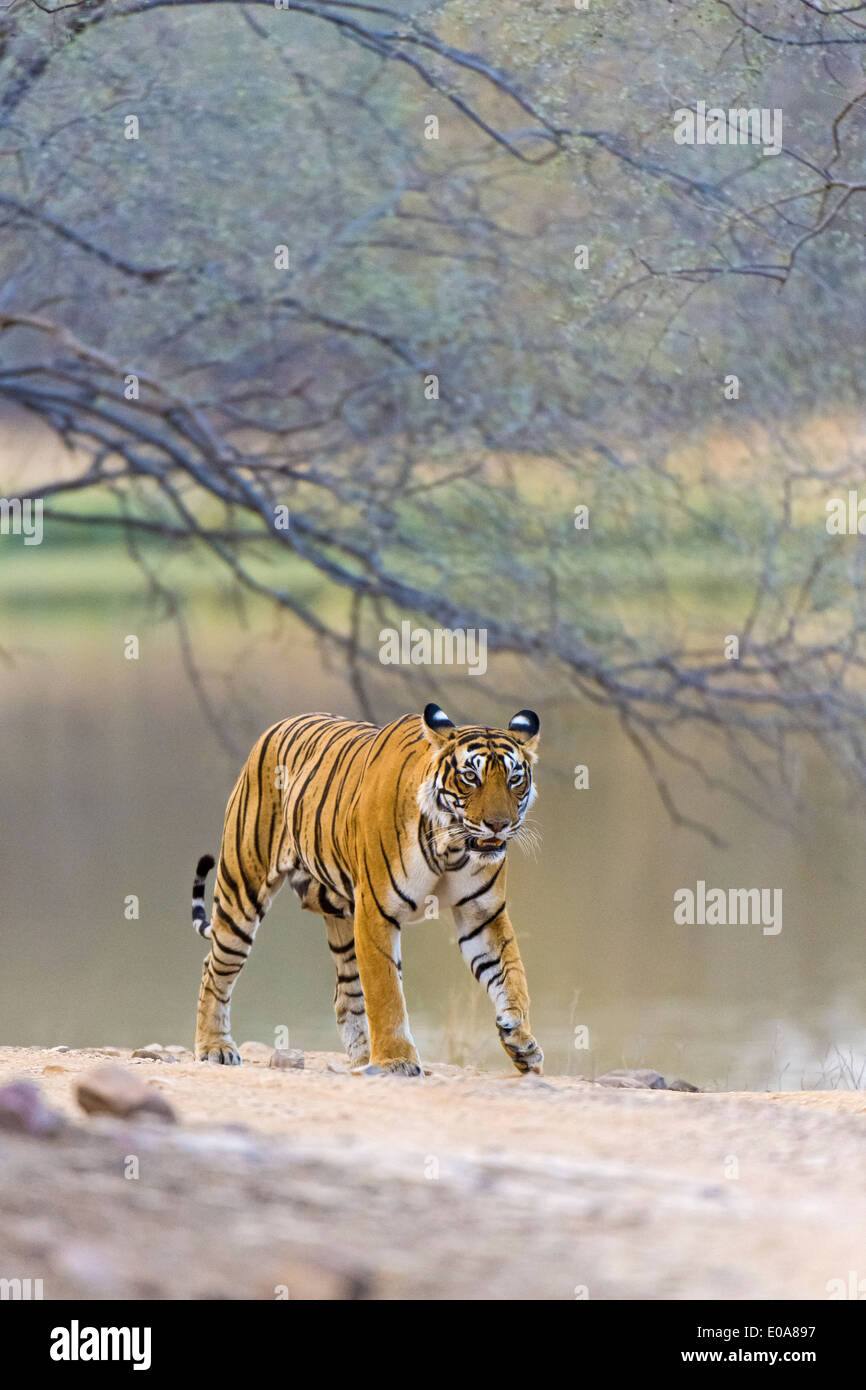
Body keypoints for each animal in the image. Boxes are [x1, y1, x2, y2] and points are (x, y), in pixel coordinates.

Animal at [191, 702, 543, 1076]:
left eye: (514, 779)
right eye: (470, 777)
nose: (499, 824)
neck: (450, 846)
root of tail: (277, 725)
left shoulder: (482, 914)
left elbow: (511, 973)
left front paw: (522, 1042)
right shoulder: (377, 910)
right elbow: (386, 992)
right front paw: (397, 1060)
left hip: (342, 915)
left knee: (345, 995)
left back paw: (362, 1060)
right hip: (242, 890)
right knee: (215, 968)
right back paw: (214, 1047)